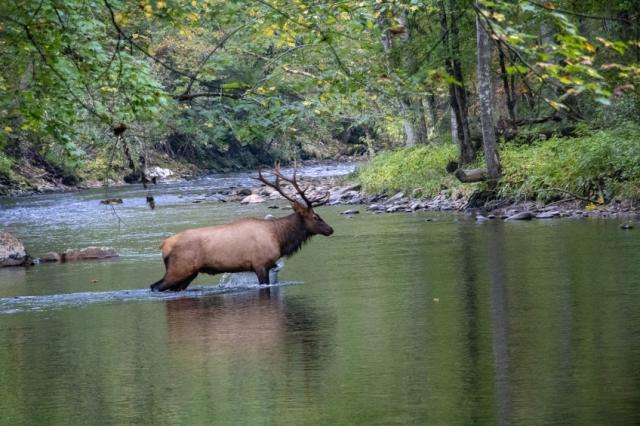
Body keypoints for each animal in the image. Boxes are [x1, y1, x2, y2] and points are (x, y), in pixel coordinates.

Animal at [150, 165, 333, 292]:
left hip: (189, 273)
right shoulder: (260, 264)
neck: (279, 238)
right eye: (316, 217)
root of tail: (164, 244)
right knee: (155, 286)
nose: (330, 229)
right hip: (179, 269)